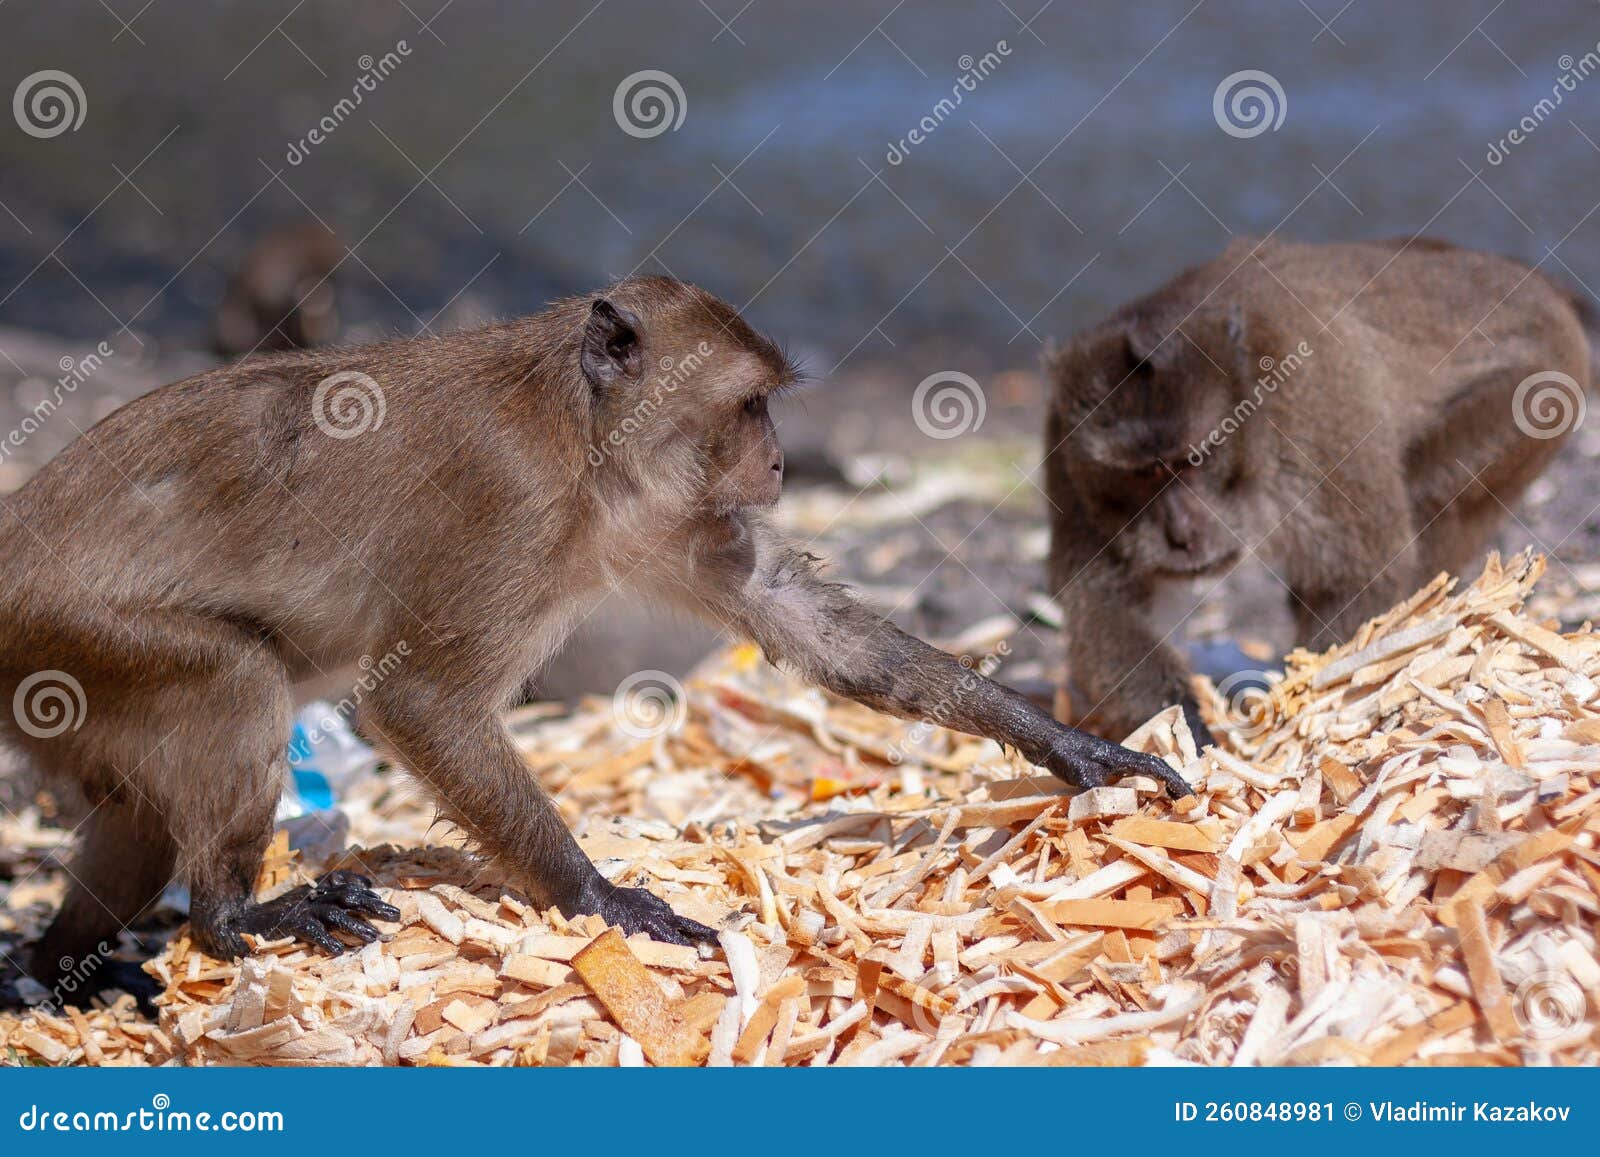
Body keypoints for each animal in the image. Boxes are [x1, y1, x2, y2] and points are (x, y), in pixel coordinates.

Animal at [0, 276, 1188, 1004]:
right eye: (750, 405)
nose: (777, 462)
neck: (581, 435)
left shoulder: (673, 517)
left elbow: (815, 629)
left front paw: (1077, 748)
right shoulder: (513, 500)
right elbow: (418, 702)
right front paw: (599, 899)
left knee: (136, 801)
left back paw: (57, 965)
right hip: (75, 634)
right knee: (235, 675)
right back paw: (228, 919)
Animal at [1045, 236, 1595, 746]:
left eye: (1195, 459)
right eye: (1142, 474)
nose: (1181, 535)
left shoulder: (1308, 398)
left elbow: (1358, 578)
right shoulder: (1067, 454)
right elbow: (1104, 606)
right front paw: (1186, 729)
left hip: (1540, 387)